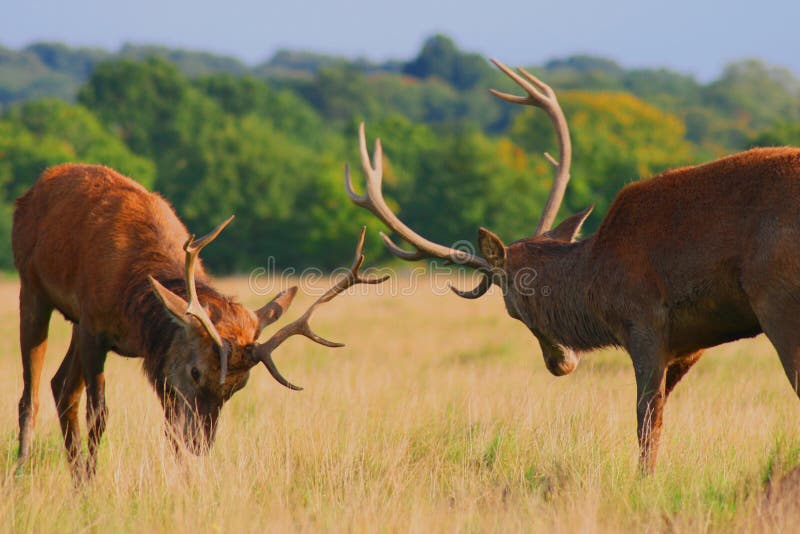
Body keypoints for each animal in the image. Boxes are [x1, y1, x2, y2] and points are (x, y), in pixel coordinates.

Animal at [12, 163, 386, 479]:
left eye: (240, 386)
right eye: (196, 372)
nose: (200, 446)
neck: (134, 307)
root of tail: (32, 189)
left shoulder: (159, 358)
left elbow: (169, 429)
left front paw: (184, 481)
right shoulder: (93, 326)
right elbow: (100, 412)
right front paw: (92, 482)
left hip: (71, 323)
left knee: (61, 386)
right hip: (32, 290)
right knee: (32, 393)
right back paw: (22, 472)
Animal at [346, 58, 800, 474]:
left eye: (512, 306)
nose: (561, 364)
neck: (594, 283)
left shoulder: (645, 321)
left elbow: (646, 422)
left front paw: (644, 481)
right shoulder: (690, 346)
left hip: (777, 298)